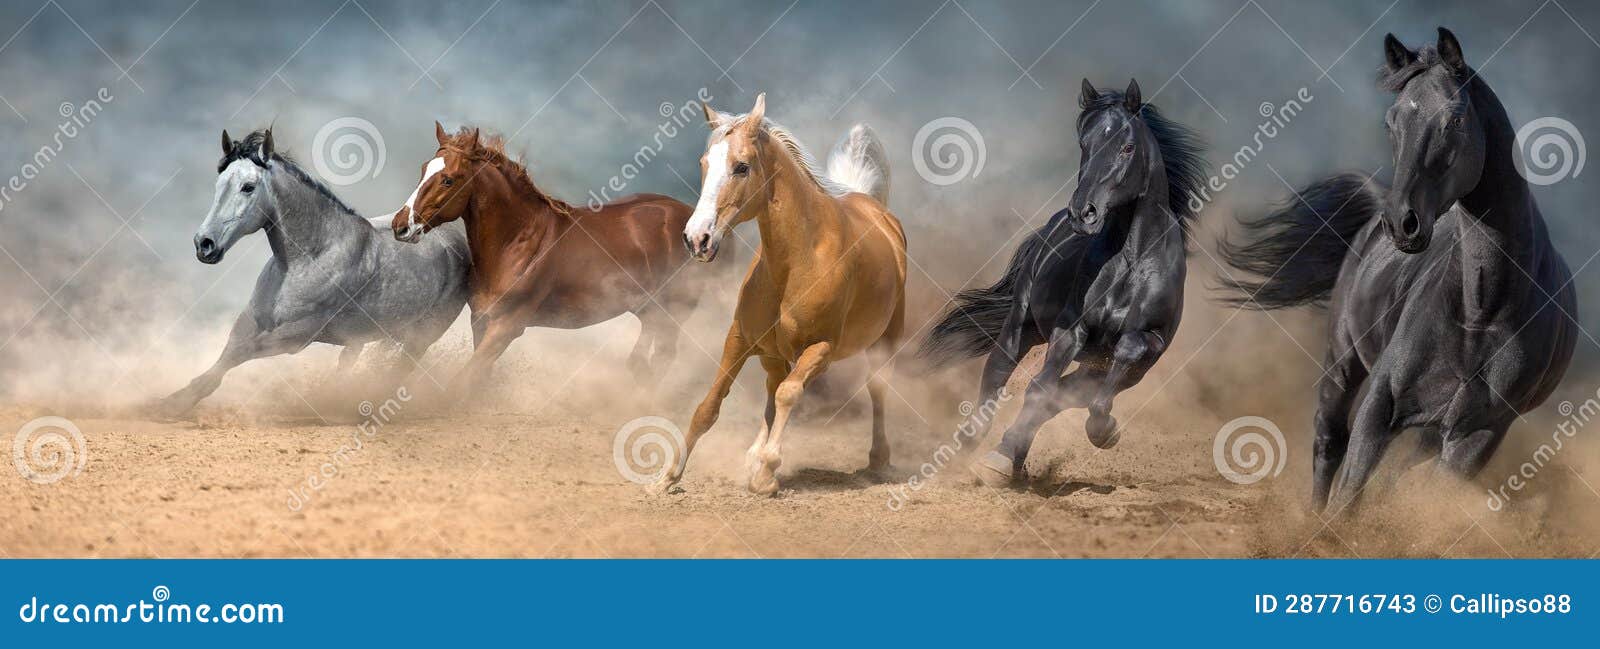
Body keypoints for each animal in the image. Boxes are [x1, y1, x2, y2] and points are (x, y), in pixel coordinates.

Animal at [155, 128, 470, 415]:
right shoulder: (251, 319)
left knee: (399, 370)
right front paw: (173, 401)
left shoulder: (297, 334)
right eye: (219, 184)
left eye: (248, 186)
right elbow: (229, 353)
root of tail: (458, 242)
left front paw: (173, 404)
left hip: (423, 335)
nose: (204, 244)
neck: (308, 257)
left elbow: (241, 352)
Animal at [391, 123, 711, 395]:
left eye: (448, 179)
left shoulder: (507, 327)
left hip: (674, 311)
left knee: (664, 357)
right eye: (423, 169)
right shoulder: (480, 320)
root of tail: (692, 224)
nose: (401, 226)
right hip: (650, 309)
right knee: (643, 360)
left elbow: (464, 379)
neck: (517, 241)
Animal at [651, 93, 905, 496]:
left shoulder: (821, 348)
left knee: (875, 388)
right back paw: (753, 453)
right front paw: (667, 477)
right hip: (771, 351)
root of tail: (871, 204)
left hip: (885, 341)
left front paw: (767, 474)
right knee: (772, 386)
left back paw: (877, 461)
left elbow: (790, 394)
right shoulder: (739, 339)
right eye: (705, 163)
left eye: (741, 167)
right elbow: (710, 404)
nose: (696, 239)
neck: (798, 260)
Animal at [921, 79, 1207, 487]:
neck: (1131, 261)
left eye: (1127, 146)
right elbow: (1039, 388)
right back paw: (972, 454)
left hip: (1099, 366)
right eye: (1084, 144)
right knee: (998, 375)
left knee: (1063, 394)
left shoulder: (1150, 345)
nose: (1083, 213)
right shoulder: (1071, 330)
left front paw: (1105, 431)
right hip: (1021, 326)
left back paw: (1015, 458)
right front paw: (997, 460)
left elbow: (1118, 361)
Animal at [1219, 28, 1576, 512]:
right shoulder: (1382, 403)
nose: (1402, 223)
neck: (1481, 311)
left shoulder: (1475, 435)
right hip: (1342, 362)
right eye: (1391, 122)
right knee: (1329, 441)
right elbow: (1348, 492)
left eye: (1454, 120)